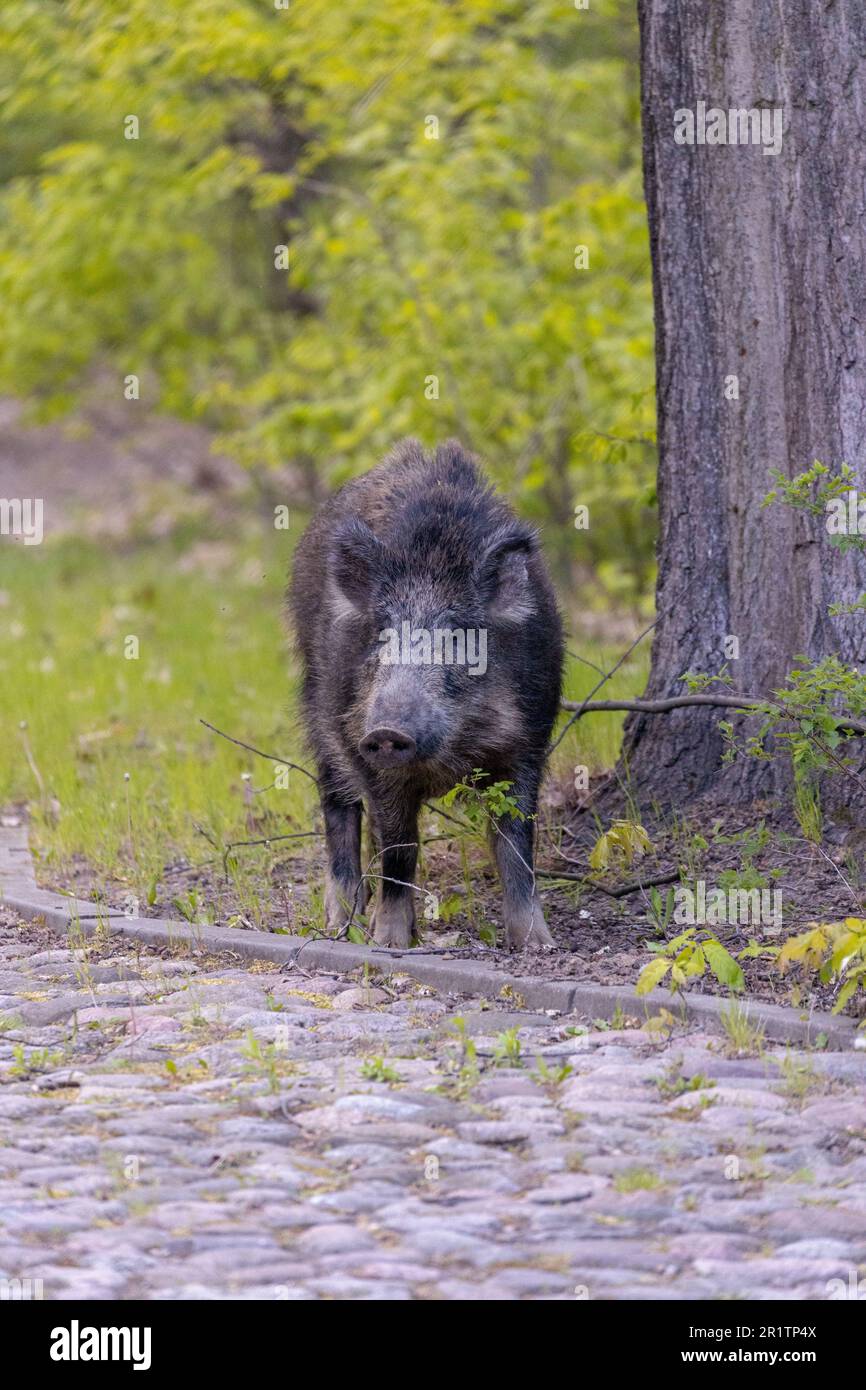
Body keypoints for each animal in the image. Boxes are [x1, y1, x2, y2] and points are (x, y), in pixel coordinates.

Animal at [289, 438, 564, 949]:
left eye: (458, 636)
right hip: (320, 713)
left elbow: (516, 844)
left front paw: (538, 945)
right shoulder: (362, 749)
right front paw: (389, 944)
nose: (387, 730)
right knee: (338, 806)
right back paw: (341, 926)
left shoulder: (529, 742)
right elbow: (401, 844)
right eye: (382, 633)